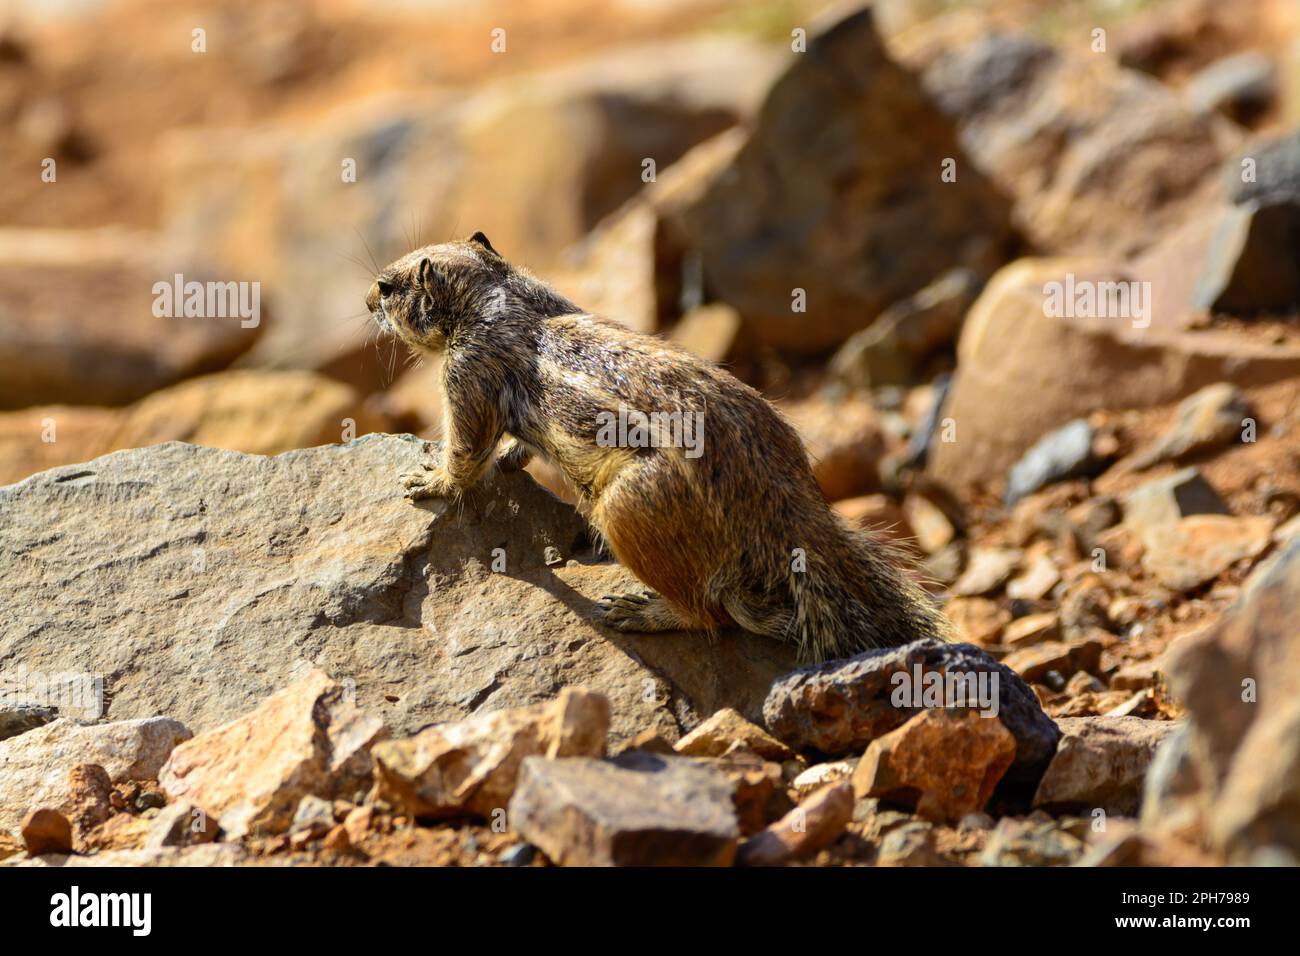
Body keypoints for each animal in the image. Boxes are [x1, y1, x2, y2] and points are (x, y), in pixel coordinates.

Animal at [366, 233, 949, 663]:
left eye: (387, 286)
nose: (368, 301)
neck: (498, 293)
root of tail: (786, 515)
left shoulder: (467, 375)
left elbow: (465, 450)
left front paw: (428, 481)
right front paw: (511, 457)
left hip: (628, 509)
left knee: (711, 615)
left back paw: (641, 612)